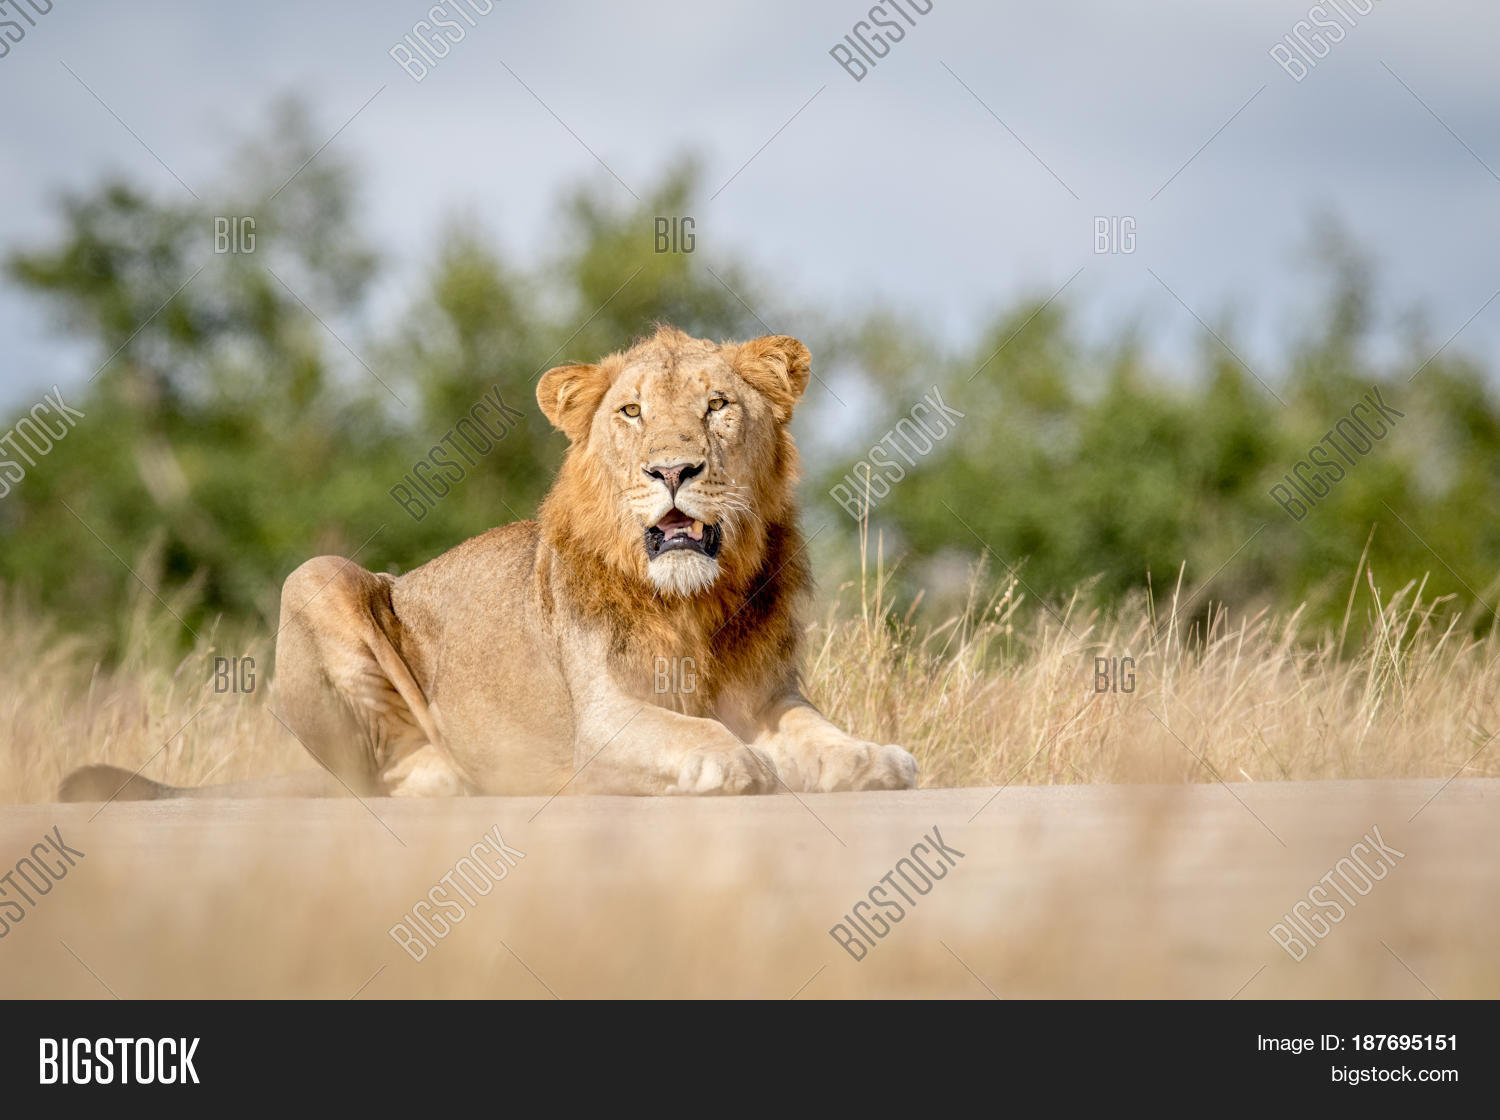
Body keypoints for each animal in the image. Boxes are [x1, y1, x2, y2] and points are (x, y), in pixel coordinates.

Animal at [59, 327, 918, 802]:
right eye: (631, 411)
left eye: (717, 406)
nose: (673, 470)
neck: (693, 606)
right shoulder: (602, 720)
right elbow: (690, 732)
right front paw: (732, 760)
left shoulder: (772, 696)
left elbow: (820, 735)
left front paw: (871, 756)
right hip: (317, 576)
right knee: (375, 774)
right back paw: (448, 775)